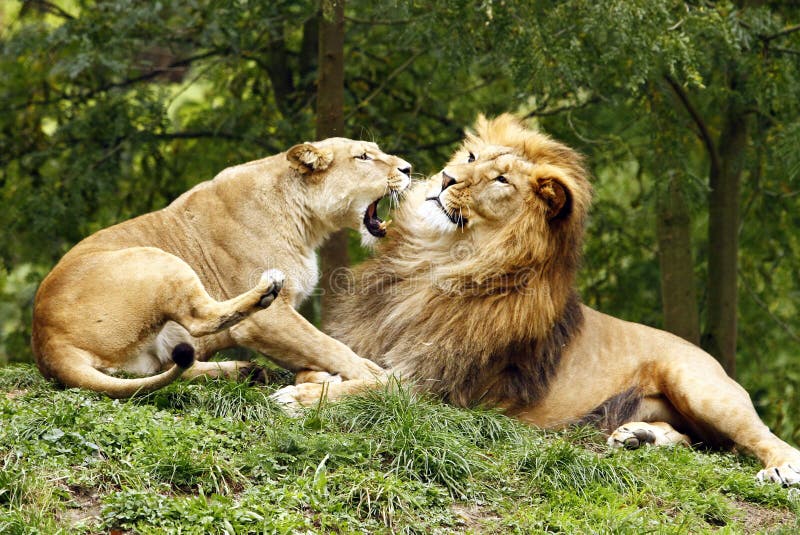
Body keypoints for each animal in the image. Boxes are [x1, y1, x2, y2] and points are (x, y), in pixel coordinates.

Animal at [32, 138, 411, 398]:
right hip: (159, 257)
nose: (408, 168)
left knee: (165, 368)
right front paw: (379, 378)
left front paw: (322, 378)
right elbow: (331, 346)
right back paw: (264, 293)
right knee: (200, 319)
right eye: (363, 157)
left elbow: (316, 351)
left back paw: (244, 372)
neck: (306, 222)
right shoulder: (268, 321)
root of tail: (47, 342)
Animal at [275, 116, 800, 486]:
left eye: (501, 179)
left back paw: (778, 469)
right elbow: (339, 366)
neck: (436, 261)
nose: (445, 178)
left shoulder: (435, 387)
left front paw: (303, 398)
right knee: (692, 440)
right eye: (470, 156)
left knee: (766, 439)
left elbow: (368, 389)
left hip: (700, 386)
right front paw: (312, 380)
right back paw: (637, 436)